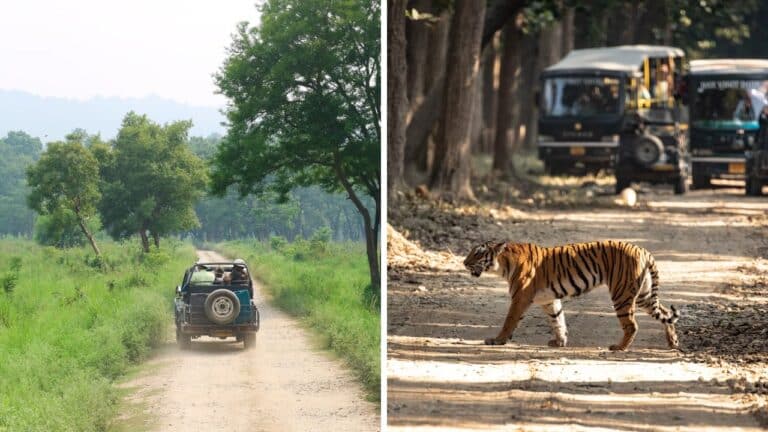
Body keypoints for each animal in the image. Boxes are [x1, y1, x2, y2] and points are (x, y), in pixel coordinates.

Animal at [463, 240, 679, 351]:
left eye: (477, 254)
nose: (464, 262)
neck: (503, 265)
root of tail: (643, 249)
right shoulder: (549, 300)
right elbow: (558, 320)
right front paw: (559, 342)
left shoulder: (520, 298)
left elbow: (509, 321)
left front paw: (497, 340)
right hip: (643, 295)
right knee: (665, 312)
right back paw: (673, 342)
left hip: (622, 293)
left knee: (632, 325)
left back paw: (619, 347)